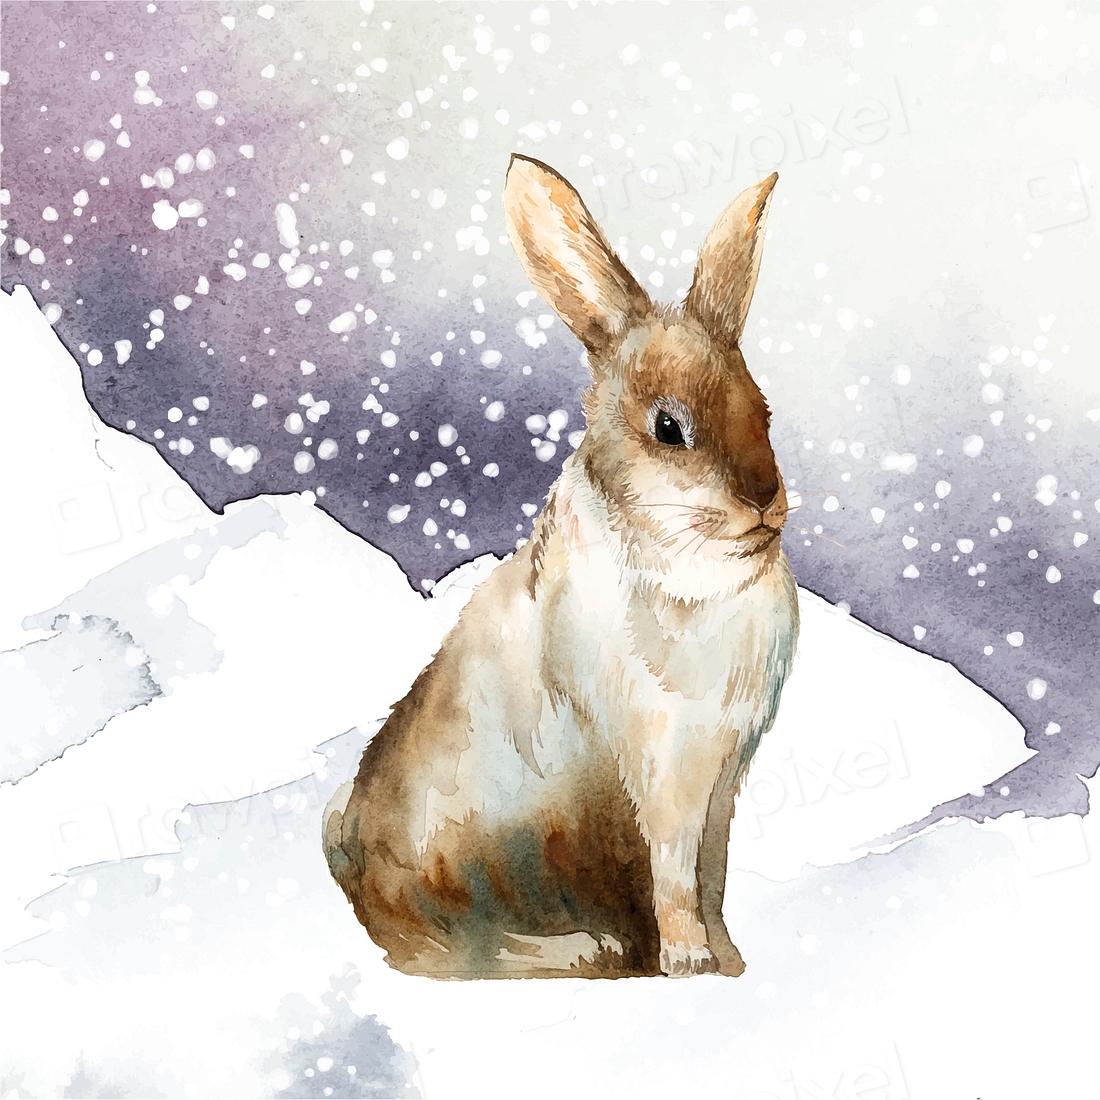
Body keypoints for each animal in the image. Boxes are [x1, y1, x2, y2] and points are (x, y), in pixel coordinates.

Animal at [323, 154, 799, 979]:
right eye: (667, 428)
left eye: (763, 409)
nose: (767, 504)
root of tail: (356, 882)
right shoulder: (661, 770)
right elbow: (675, 880)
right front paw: (690, 964)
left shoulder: (722, 780)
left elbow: (710, 879)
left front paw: (731, 964)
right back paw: (585, 948)